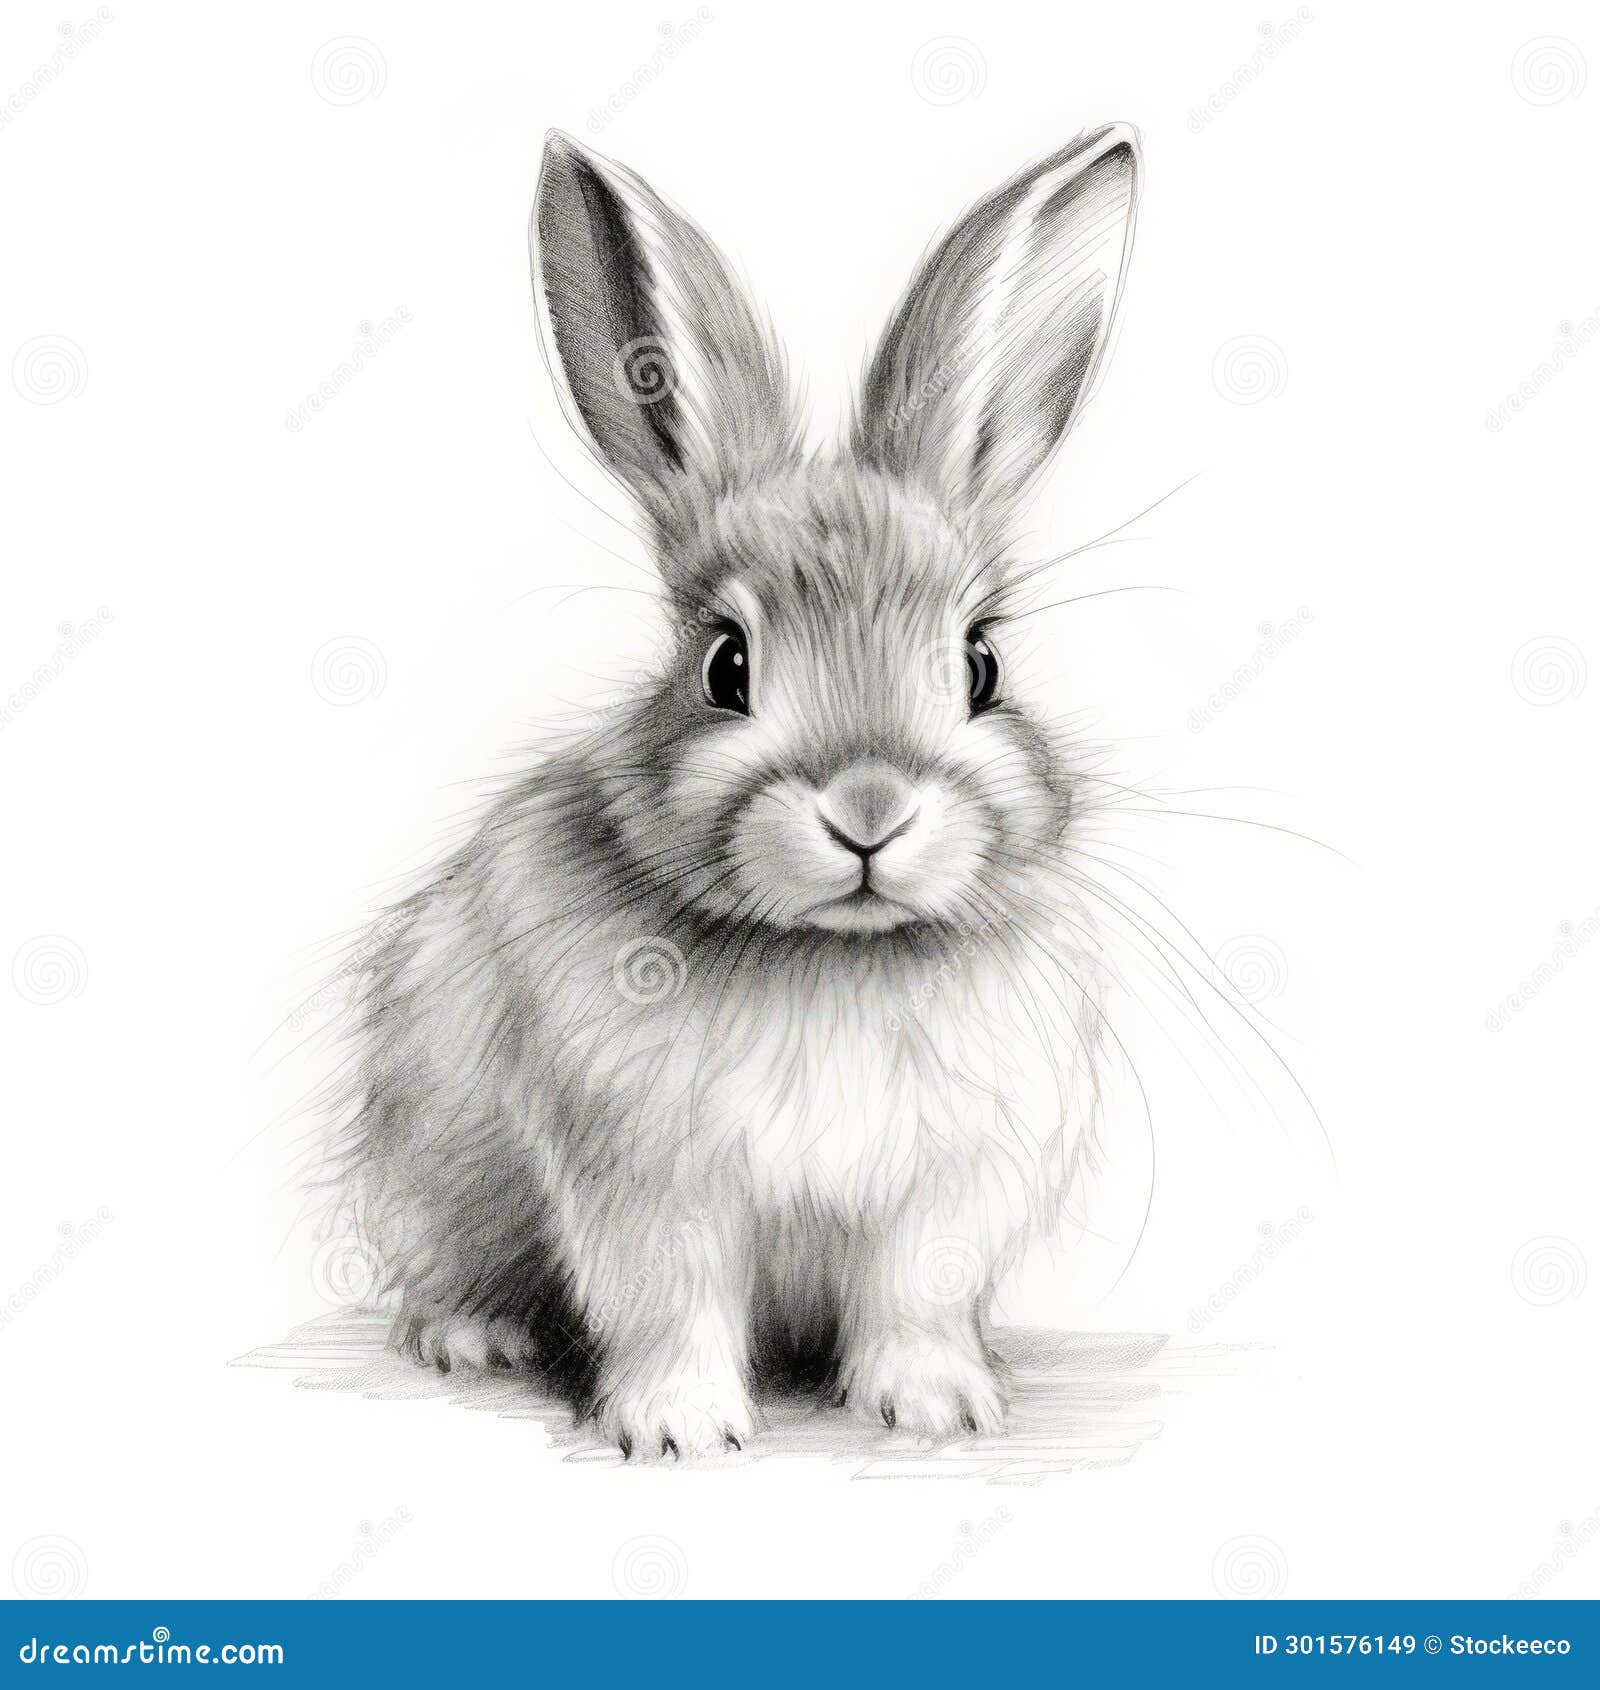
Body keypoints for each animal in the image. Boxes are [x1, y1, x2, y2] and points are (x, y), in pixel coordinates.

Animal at [333, 124, 1140, 1459]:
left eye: (980, 664)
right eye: (726, 664)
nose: (868, 810)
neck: (837, 956)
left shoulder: (950, 1189)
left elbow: (914, 1299)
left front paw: (936, 1407)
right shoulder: (646, 1174)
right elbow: (668, 1299)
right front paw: (677, 1429)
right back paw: (475, 1335)